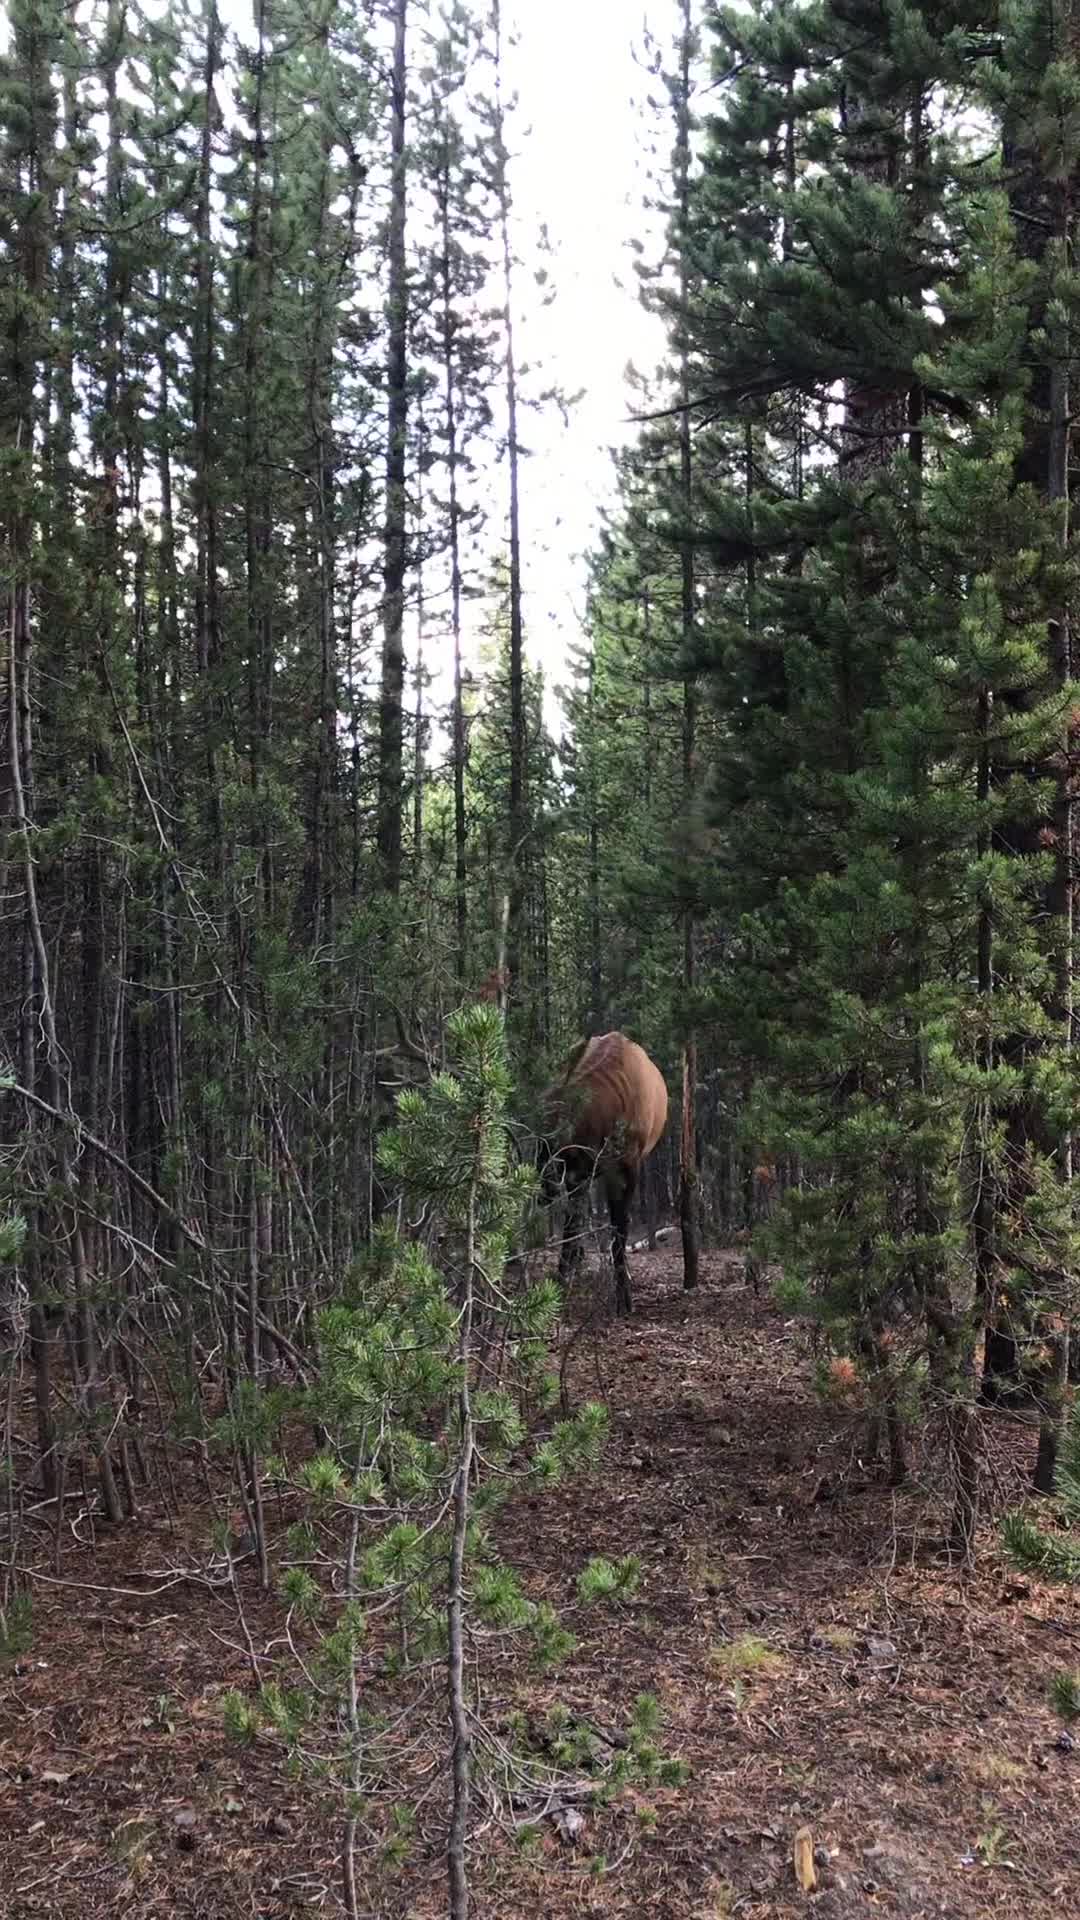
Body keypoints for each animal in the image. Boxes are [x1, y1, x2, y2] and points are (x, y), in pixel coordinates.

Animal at [535, 1032, 669, 1316]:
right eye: (543, 1142)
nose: (543, 1190)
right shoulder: (581, 1174)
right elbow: (575, 1228)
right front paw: (562, 1279)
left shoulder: (625, 1170)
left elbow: (619, 1232)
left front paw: (623, 1297)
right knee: (575, 1223)